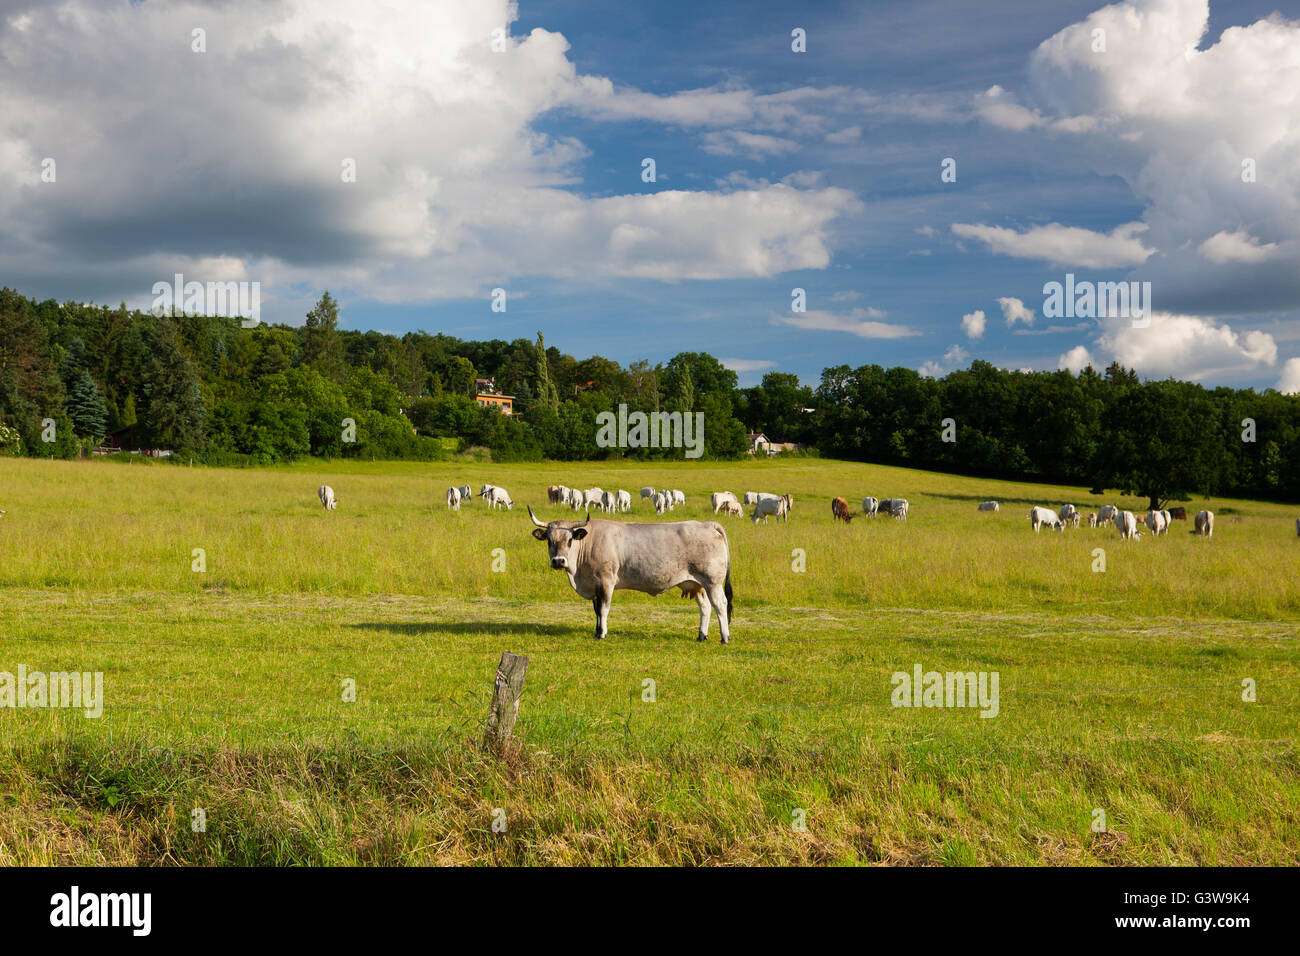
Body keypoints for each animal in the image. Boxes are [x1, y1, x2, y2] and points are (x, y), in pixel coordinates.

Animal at [528, 508, 733, 643]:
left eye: (570, 540)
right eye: (549, 540)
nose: (558, 561)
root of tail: (707, 524)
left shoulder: (605, 581)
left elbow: (604, 609)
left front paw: (602, 634)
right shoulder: (594, 585)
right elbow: (596, 610)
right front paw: (597, 631)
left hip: (713, 582)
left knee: (720, 605)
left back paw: (724, 637)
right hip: (697, 584)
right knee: (705, 607)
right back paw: (701, 635)